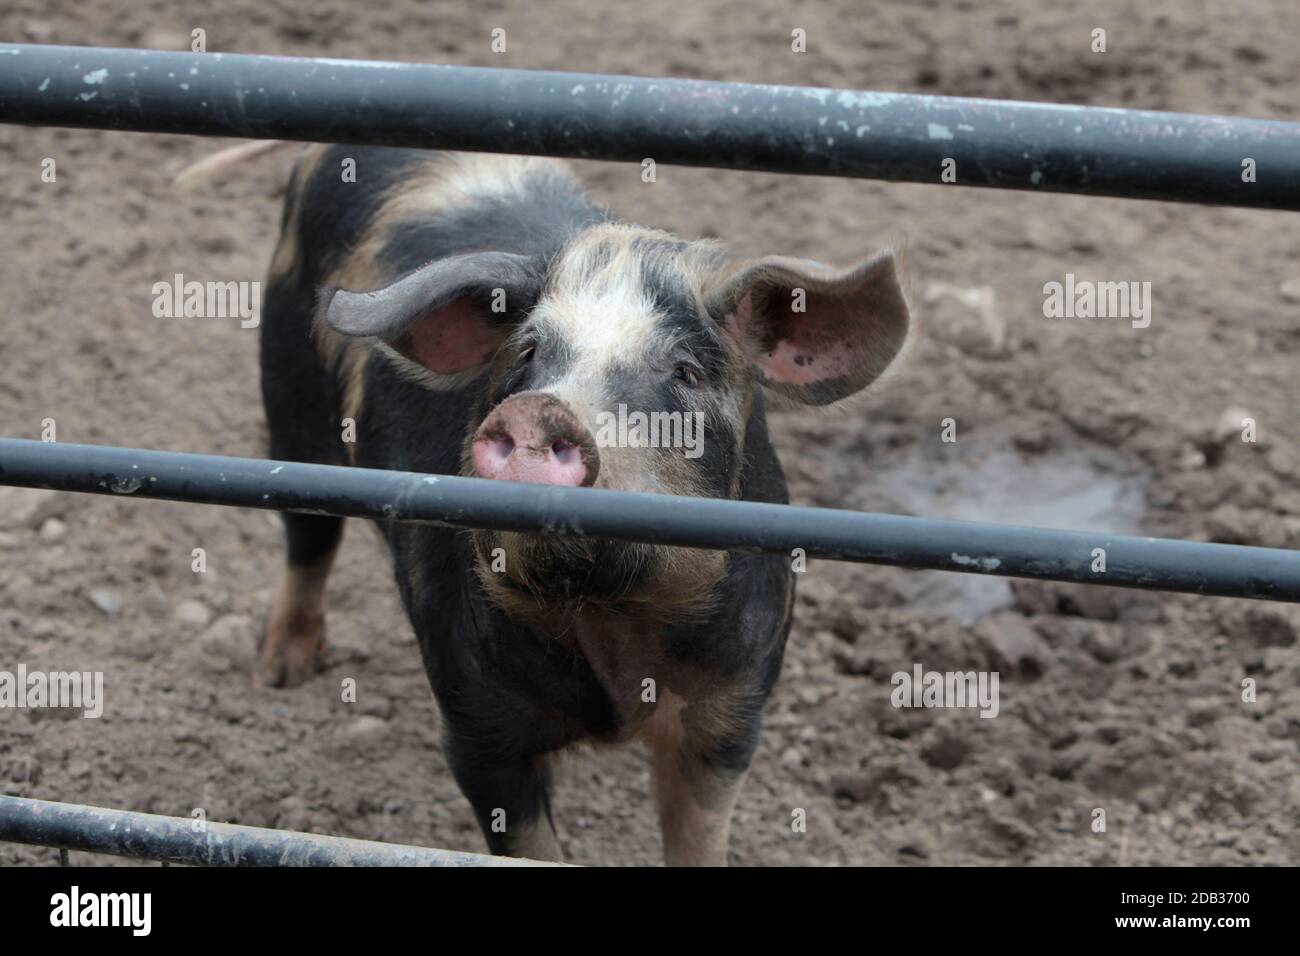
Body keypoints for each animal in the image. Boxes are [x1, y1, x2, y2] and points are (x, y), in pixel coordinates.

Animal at [257, 144, 911, 865]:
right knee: (306, 539)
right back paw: (282, 672)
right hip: (287, 395)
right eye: (528, 353)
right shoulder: (475, 724)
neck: (610, 614)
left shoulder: (735, 705)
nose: (539, 410)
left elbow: (699, 836)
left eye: (686, 370)